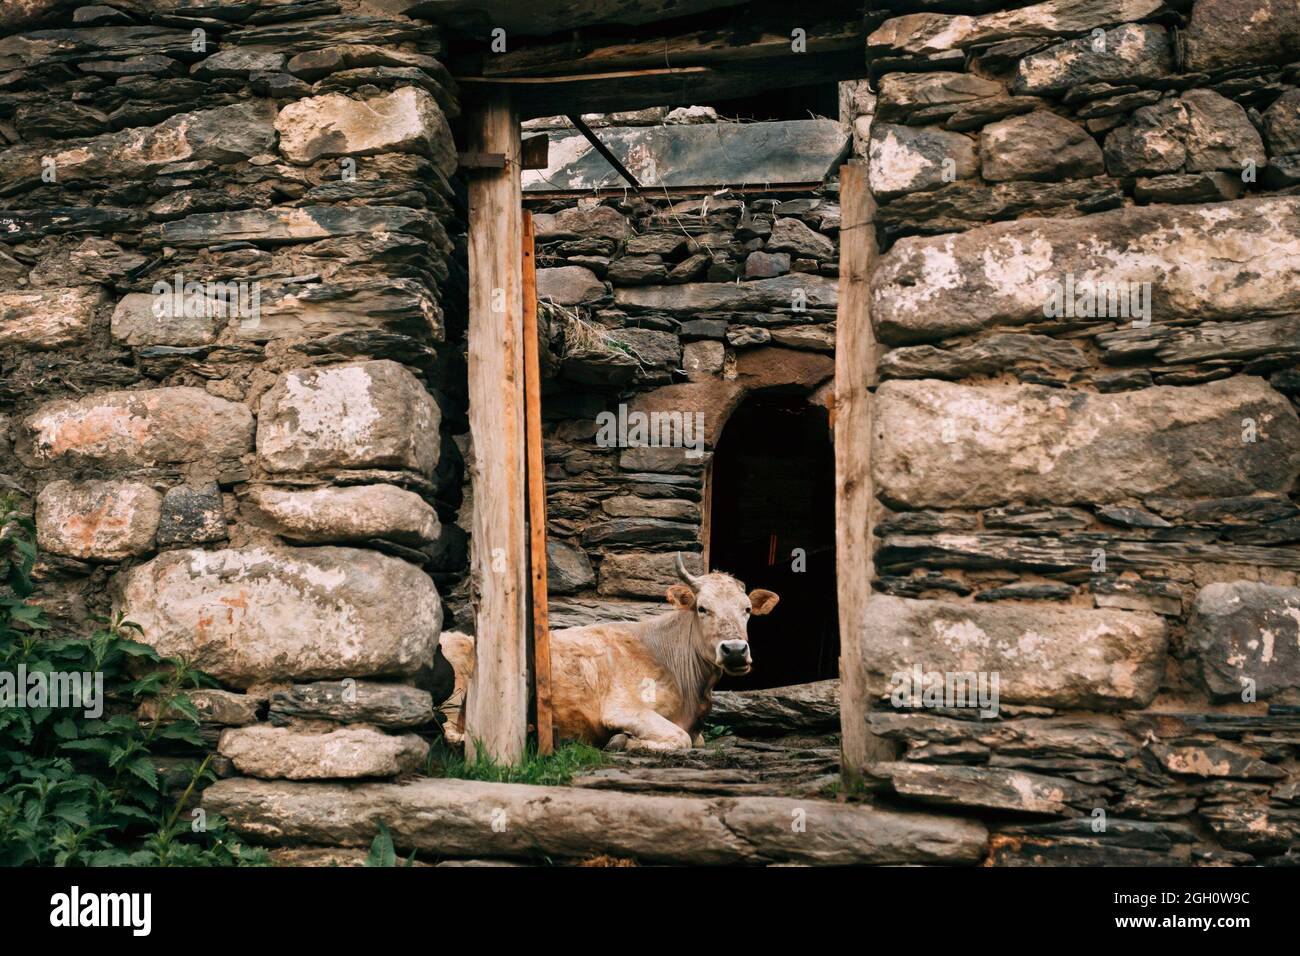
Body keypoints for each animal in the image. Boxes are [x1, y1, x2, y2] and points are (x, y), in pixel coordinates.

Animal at [439, 554, 779, 752]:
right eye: (702, 608)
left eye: (747, 609)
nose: (734, 651)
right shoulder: (623, 709)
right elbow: (681, 740)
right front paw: (624, 742)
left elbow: (696, 738)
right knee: (451, 732)